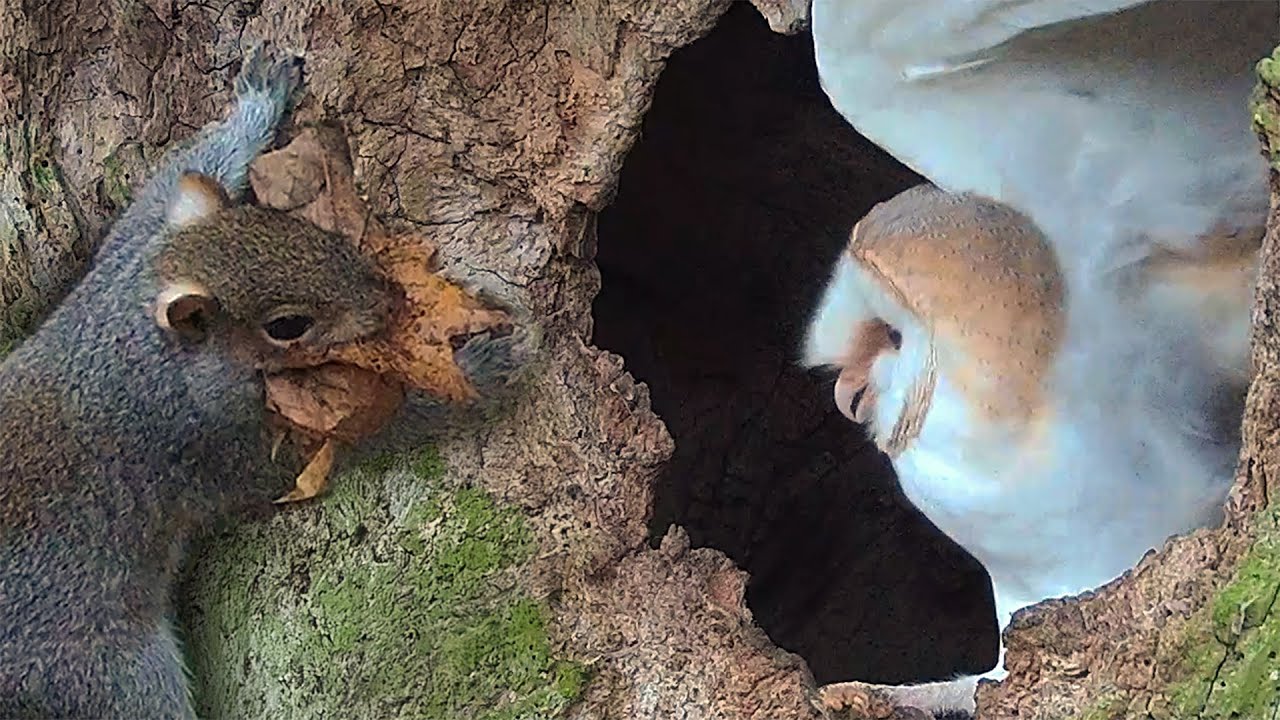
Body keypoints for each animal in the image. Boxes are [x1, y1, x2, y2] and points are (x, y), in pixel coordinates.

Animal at [0, 42, 530, 719]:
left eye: (304, 231)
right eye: (287, 325)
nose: (386, 299)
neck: (142, 342)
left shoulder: (127, 257)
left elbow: (166, 185)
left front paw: (256, 100)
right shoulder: (212, 439)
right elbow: (334, 445)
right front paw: (488, 368)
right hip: (99, 673)